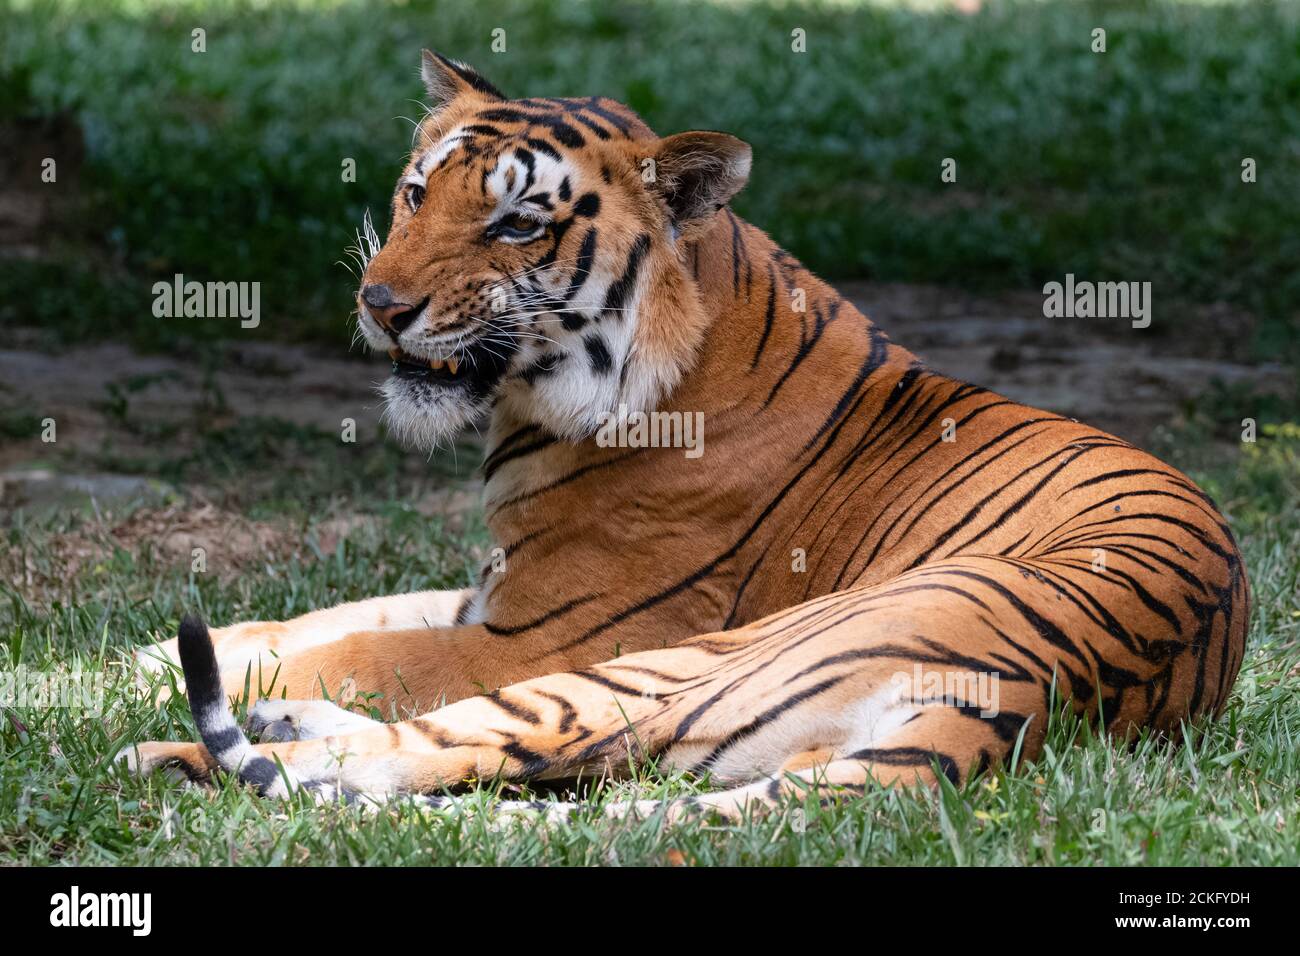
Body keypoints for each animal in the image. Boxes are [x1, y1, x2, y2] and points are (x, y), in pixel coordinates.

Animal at [120, 51, 1249, 820]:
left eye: (516, 224)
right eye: (414, 192)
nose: (379, 303)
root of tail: (1024, 696)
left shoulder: (541, 628)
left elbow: (359, 646)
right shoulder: (493, 584)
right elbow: (317, 618)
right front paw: (137, 655)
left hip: (667, 665)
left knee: (414, 756)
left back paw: (168, 755)